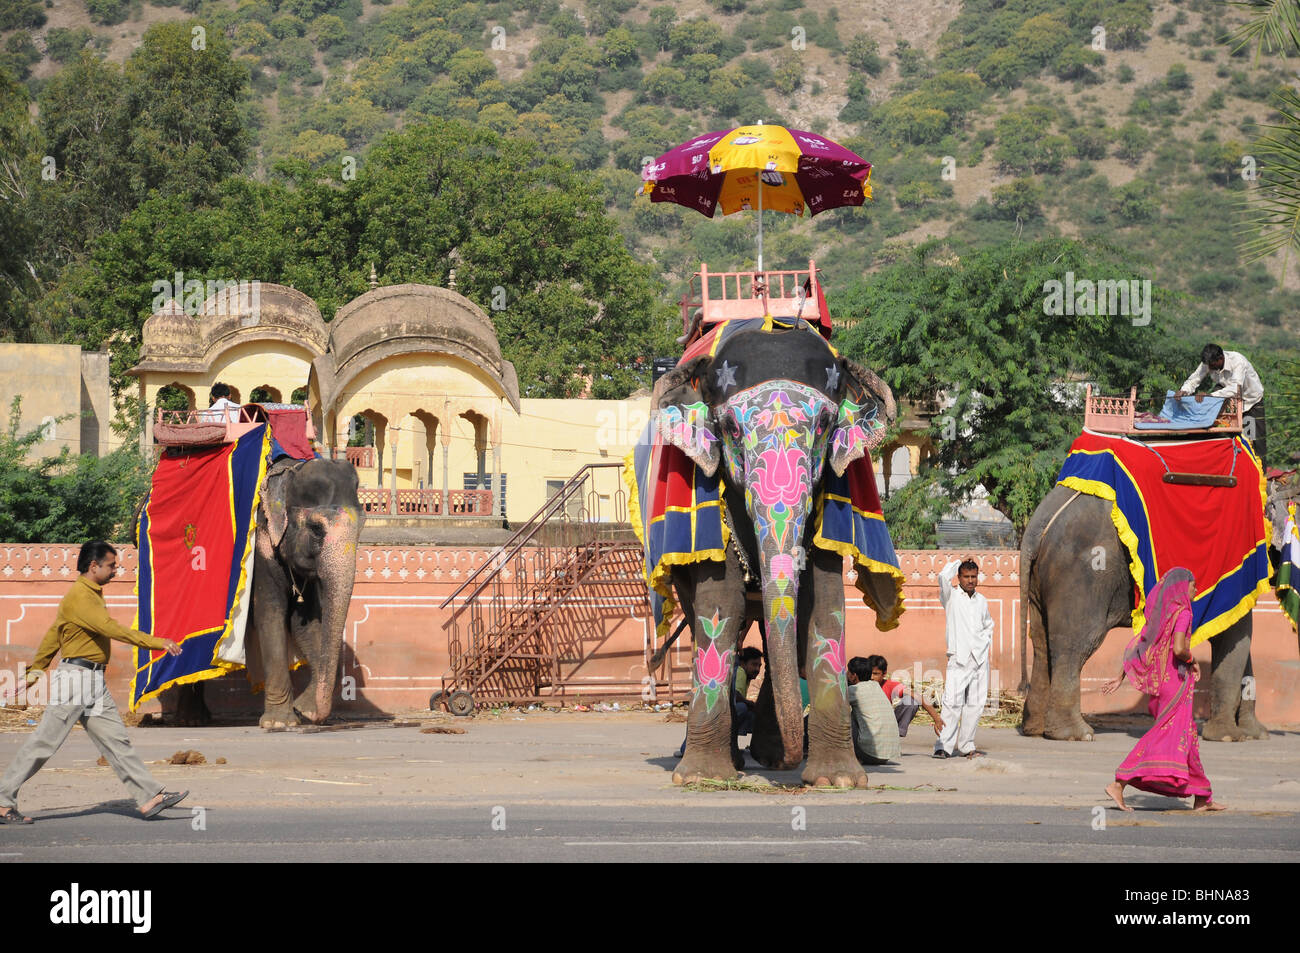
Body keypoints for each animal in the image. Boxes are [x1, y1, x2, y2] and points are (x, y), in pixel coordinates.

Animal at [653, 323, 901, 787]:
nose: (790, 758)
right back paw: (729, 761)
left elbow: (823, 604)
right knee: (710, 621)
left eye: (825, 425)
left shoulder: (830, 494)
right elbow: (722, 604)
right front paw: (701, 779)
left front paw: (837, 781)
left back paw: (766, 755)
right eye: (730, 429)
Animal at [1019, 482, 1288, 742]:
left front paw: (1255, 734)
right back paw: (1077, 735)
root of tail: (1036, 527)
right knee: (1076, 644)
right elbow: (1235, 635)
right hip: (1081, 575)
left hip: (1042, 580)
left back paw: (1036, 730)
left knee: (1043, 644)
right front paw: (1228, 737)